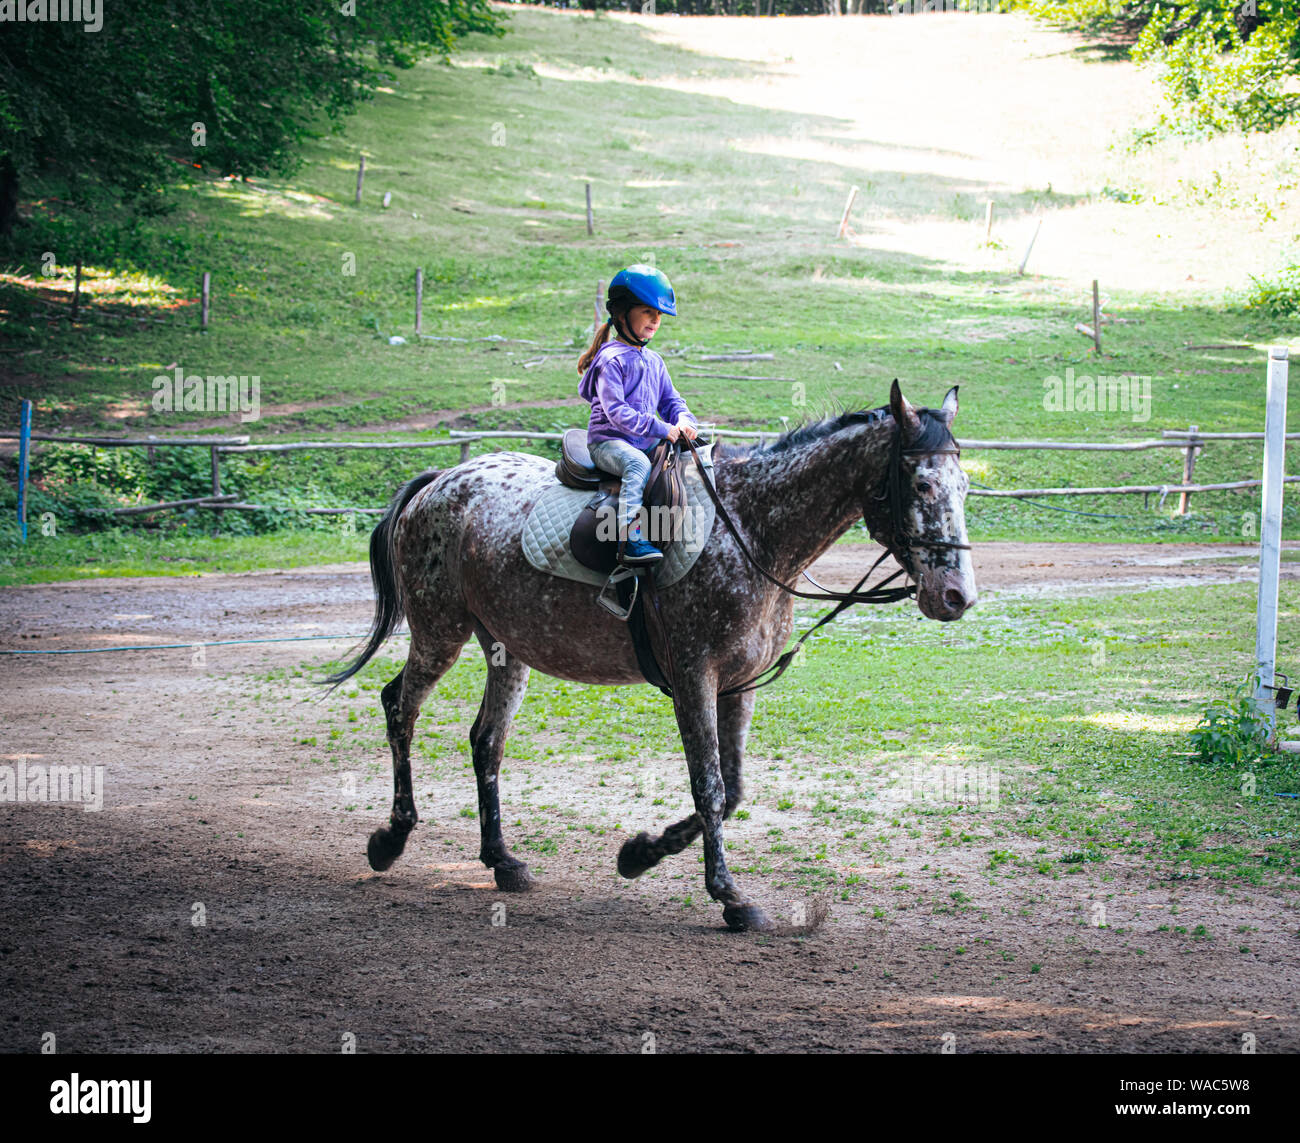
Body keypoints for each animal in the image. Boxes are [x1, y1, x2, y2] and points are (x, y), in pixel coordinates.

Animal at [326, 381, 977, 931]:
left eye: (965, 487)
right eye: (922, 485)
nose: (957, 596)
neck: (749, 531)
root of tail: (441, 479)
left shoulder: (737, 686)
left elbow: (733, 789)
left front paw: (639, 855)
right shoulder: (694, 678)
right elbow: (710, 786)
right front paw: (730, 898)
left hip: (506, 649)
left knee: (487, 741)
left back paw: (502, 861)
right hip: (440, 631)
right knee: (399, 707)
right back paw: (391, 839)